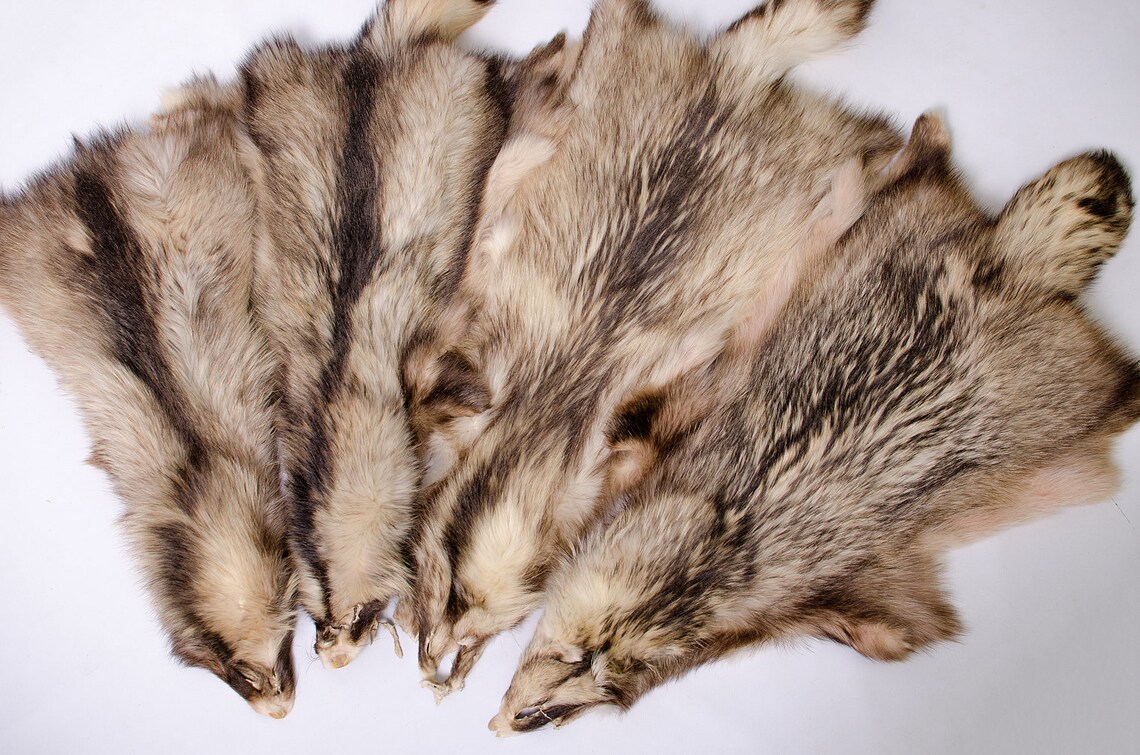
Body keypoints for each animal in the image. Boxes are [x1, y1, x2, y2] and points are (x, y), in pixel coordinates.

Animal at [237, 0, 514, 669]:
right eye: (316, 620)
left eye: (362, 612)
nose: (335, 655)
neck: (339, 397)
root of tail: (378, 58)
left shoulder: (418, 365)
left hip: (465, 96)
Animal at [397, 0, 903, 695]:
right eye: (447, 595)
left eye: (469, 614)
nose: (435, 662)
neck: (541, 422)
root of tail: (733, 75)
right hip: (633, 62)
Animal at [492, 114, 1140, 734]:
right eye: (573, 657)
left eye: (593, 673)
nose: (504, 721)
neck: (724, 547)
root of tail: (1009, 263)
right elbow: (628, 427)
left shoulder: (834, 591)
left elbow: (897, 631)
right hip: (902, 219)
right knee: (915, 177)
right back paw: (924, 145)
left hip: (1071, 419)